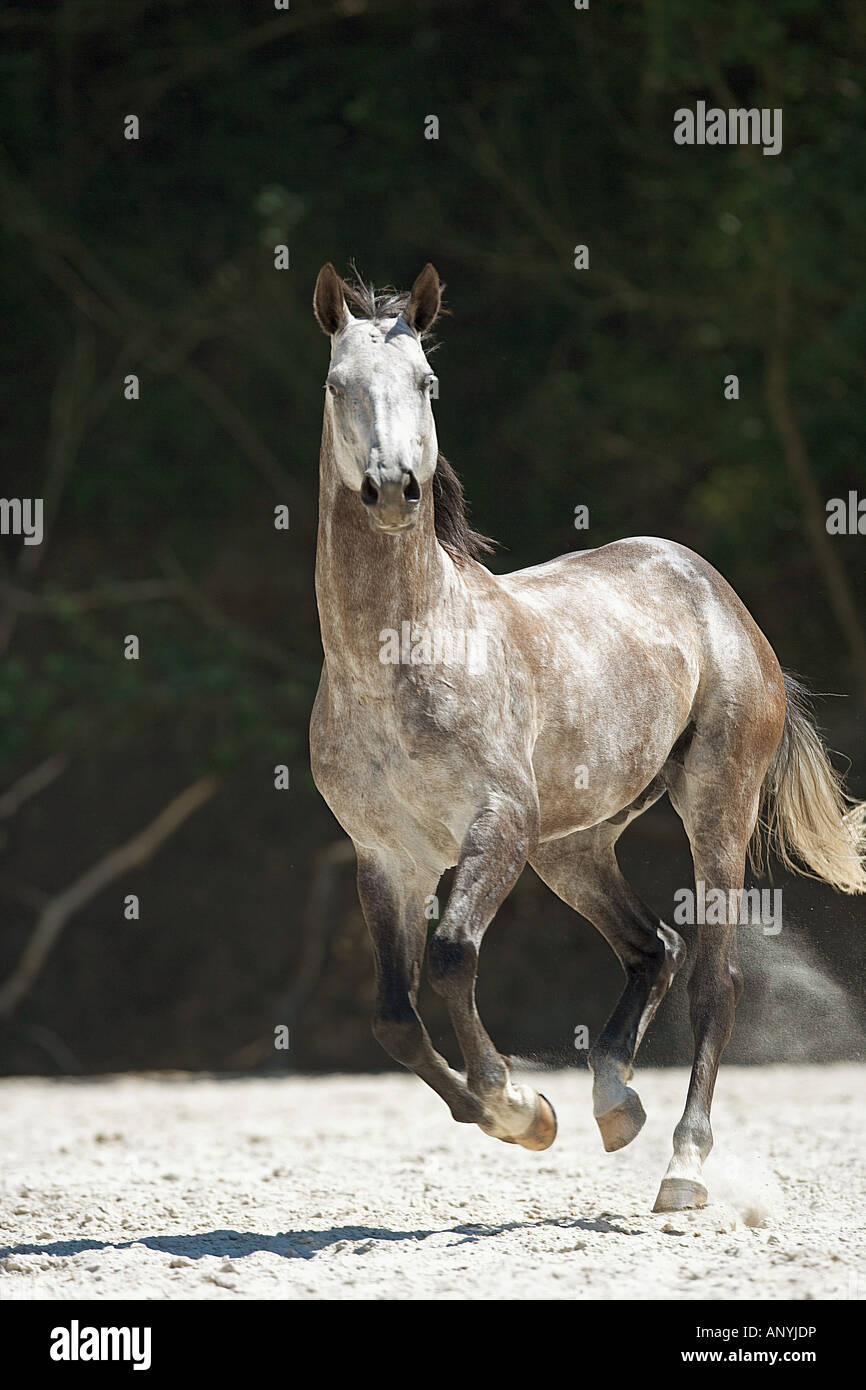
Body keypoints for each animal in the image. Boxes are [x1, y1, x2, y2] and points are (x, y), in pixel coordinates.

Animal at [309, 261, 866, 1212]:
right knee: (654, 949)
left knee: (714, 979)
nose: (392, 490)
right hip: (573, 846)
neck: (398, 660)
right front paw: (527, 1114)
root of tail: (721, 599)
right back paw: (615, 1104)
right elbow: (393, 1018)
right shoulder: (387, 856)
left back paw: (683, 1166)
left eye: (426, 382)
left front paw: (517, 1106)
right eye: (339, 384)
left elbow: (453, 957)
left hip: (712, 812)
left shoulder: (497, 827)